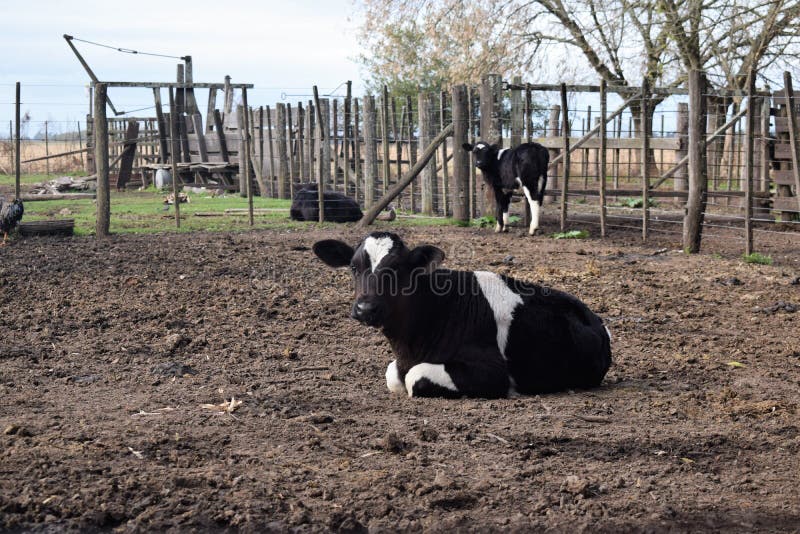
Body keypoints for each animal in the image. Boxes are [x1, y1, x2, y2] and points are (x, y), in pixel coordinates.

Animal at [313, 232, 612, 399]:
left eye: (397, 269)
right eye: (353, 267)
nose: (366, 309)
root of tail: (594, 317)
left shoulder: (492, 372)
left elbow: (414, 378)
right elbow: (393, 375)